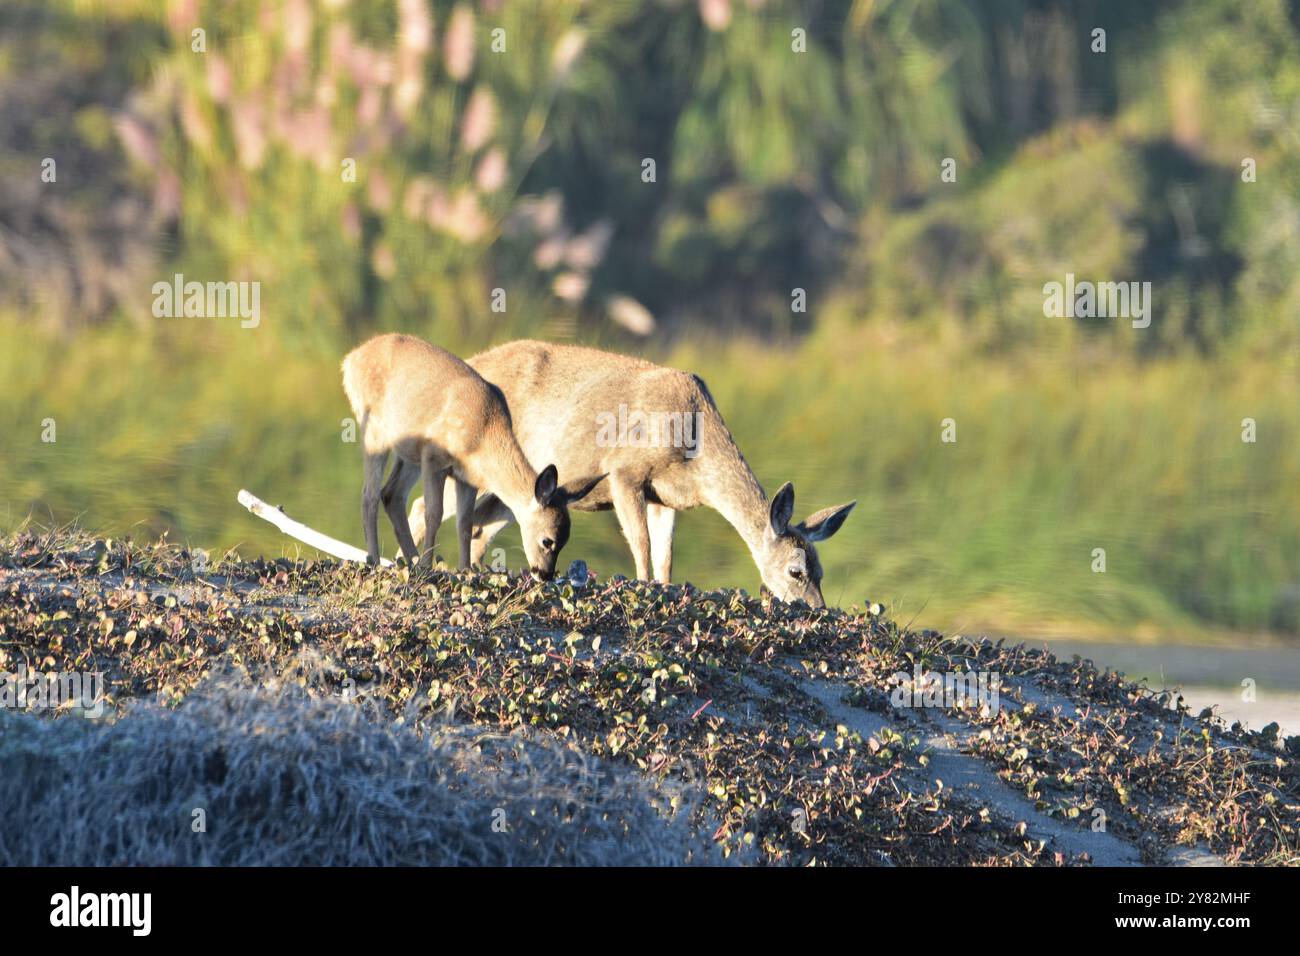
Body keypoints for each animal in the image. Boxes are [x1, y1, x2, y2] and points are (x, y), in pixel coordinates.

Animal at [340, 334, 603, 578]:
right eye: (547, 540)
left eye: (565, 541)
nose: (545, 574)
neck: (484, 434)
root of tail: (350, 359)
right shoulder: (434, 459)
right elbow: (434, 514)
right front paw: (428, 565)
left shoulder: (467, 479)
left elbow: (465, 524)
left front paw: (464, 569)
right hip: (374, 431)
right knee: (370, 495)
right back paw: (376, 559)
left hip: (409, 452)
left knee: (391, 494)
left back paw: (409, 561)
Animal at [407, 341, 856, 607]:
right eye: (795, 571)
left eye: (821, 572)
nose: (817, 609)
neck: (694, 442)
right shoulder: (624, 473)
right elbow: (640, 545)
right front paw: (641, 589)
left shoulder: (667, 498)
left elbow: (665, 557)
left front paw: (663, 589)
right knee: (422, 506)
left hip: (519, 488)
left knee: (480, 524)